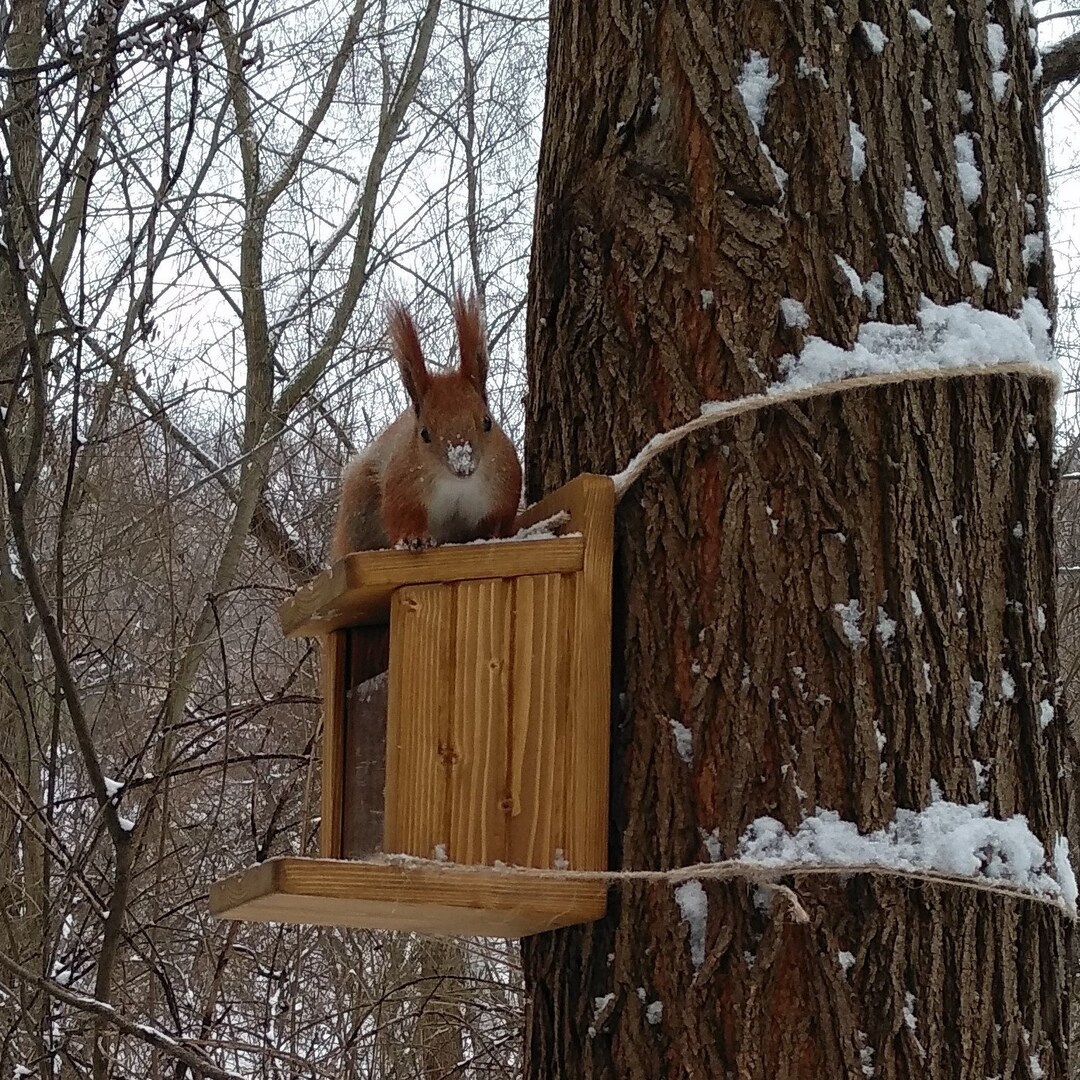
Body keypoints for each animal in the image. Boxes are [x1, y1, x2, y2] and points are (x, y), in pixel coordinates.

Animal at [329, 291, 523, 559]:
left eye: (487, 422)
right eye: (424, 433)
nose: (463, 466)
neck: (456, 485)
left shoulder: (502, 490)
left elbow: (496, 521)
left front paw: (490, 537)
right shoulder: (404, 485)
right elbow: (402, 517)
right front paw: (416, 539)